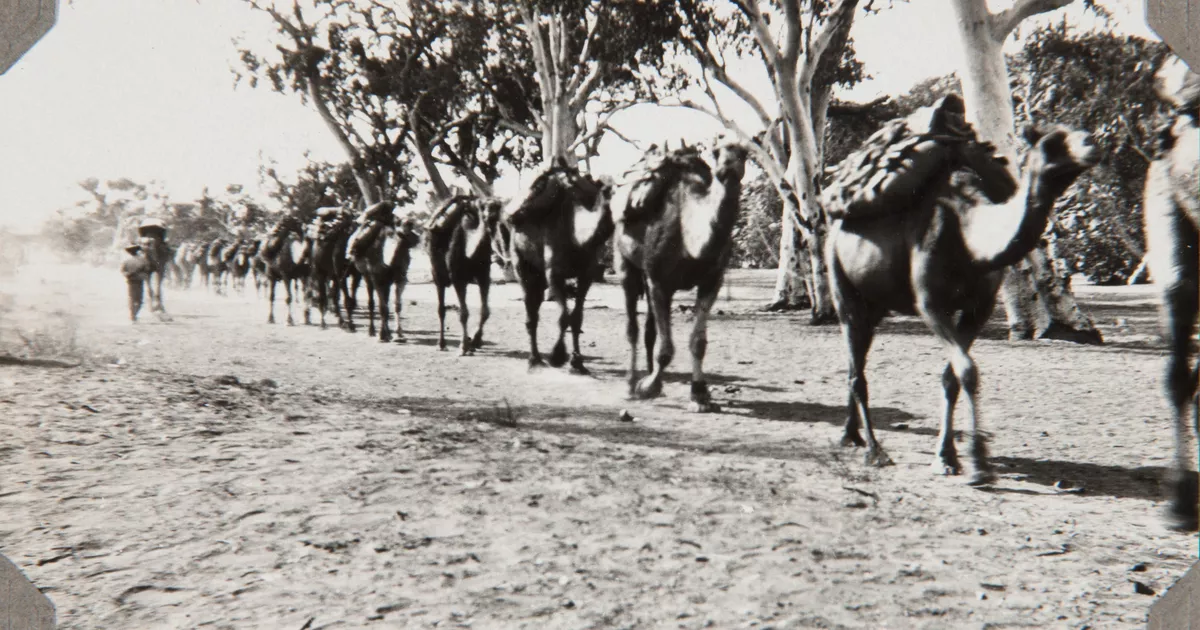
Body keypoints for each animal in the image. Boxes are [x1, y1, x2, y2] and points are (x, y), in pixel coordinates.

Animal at [345, 201, 421, 342]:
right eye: (398, 224)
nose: (409, 223)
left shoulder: (400, 279)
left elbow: (396, 306)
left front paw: (399, 334)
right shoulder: (377, 278)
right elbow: (382, 307)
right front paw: (382, 335)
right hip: (367, 276)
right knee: (372, 302)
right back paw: (372, 331)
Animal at [425, 195, 505, 354]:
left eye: (498, 208)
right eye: (484, 208)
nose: (493, 211)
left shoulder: (484, 277)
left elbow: (485, 311)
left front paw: (475, 341)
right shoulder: (458, 279)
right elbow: (464, 313)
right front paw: (463, 346)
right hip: (437, 276)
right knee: (441, 309)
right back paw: (441, 344)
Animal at [505, 159, 615, 372]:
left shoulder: (587, 275)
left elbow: (577, 317)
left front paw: (577, 362)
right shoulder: (554, 273)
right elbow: (563, 316)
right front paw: (557, 356)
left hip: (539, 277)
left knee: (536, 305)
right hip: (521, 262)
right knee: (531, 312)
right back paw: (534, 360)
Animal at [614, 138, 750, 411]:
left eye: (746, 153)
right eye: (717, 152)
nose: (730, 164)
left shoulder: (712, 282)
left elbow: (698, 342)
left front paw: (699, 394)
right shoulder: (659, 282)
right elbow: (666, 349)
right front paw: (648, 386)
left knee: (649, 329)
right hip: (624, 262)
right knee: (632, 326)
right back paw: (631, 384)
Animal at [826, 95, 1097, 485]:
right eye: (1052, 142)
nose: (1091, 142)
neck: (970, 231)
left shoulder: (978, 307)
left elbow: (951, 376)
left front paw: (949, 456)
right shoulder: (929, 302)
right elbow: (967, 370)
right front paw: (978, 464)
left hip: (874, 302)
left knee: (856, 361)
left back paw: (851, 436)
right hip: (840, 282)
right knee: (855, 366)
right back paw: (875, 451)